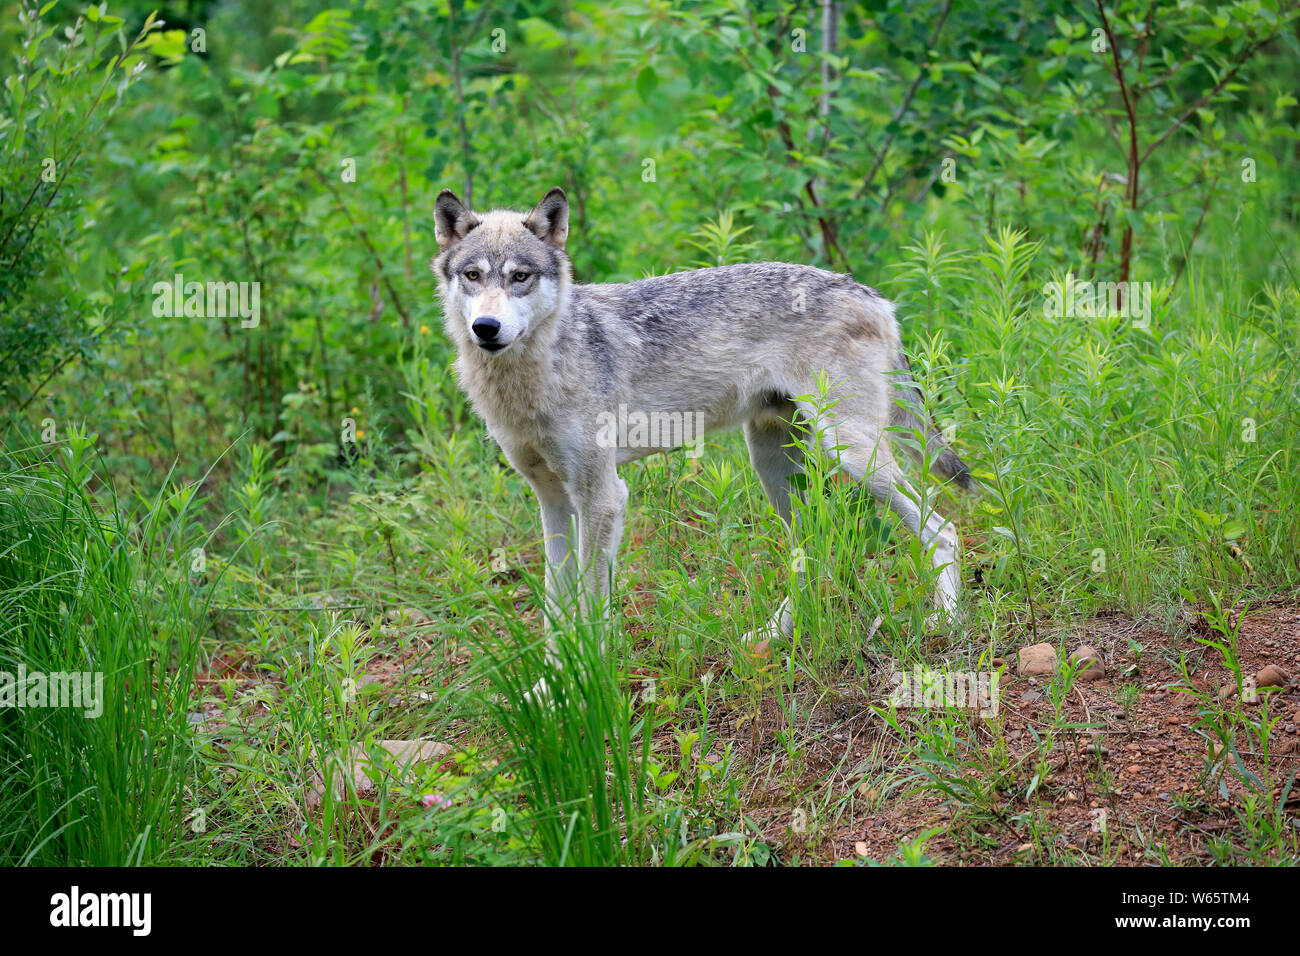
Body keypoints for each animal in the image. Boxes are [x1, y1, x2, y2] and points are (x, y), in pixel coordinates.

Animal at [431, 186, 972, 650]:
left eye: (519, 277)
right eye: (473, 276)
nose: (486, 327)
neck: (536, 372)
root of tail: (868, 293)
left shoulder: (602, 496)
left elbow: (589, 610)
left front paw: (593, 683)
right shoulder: (553, 502)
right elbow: (554, 614)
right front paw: (551, 691)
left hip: (853, 456)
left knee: (943, 531)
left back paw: (946, 622)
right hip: (774, 466)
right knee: (816, 547)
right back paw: (773, 636)